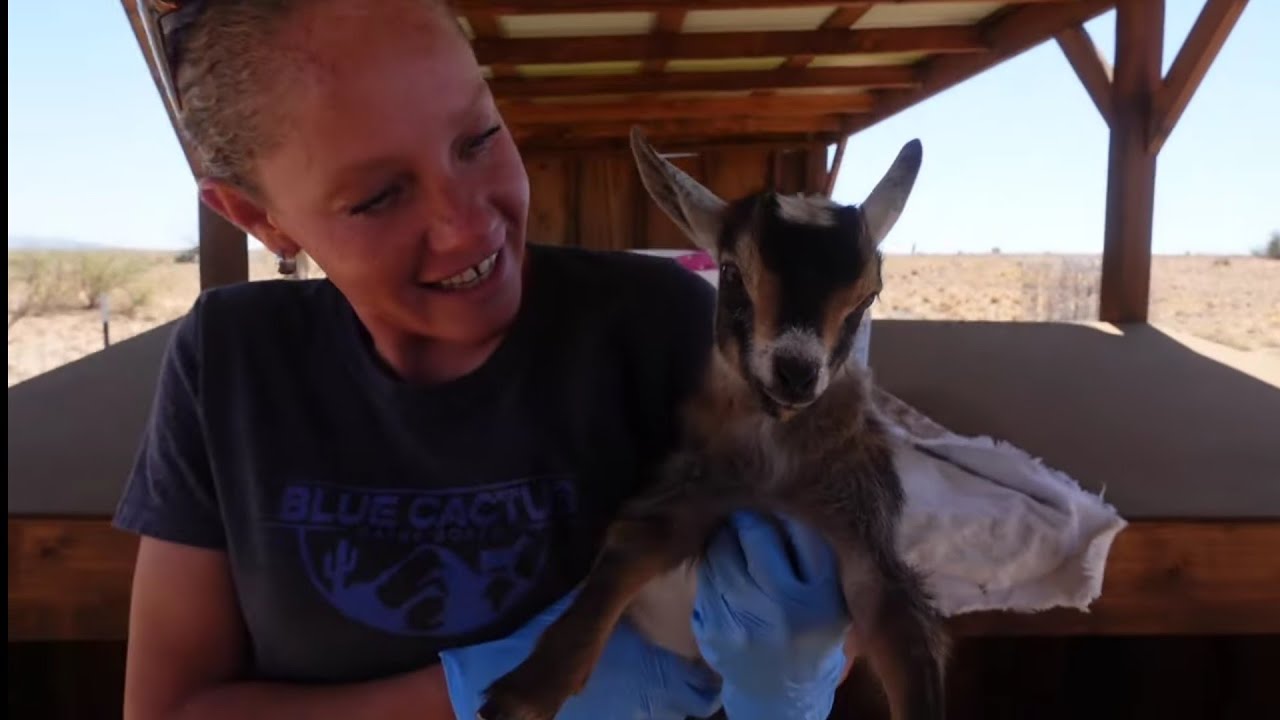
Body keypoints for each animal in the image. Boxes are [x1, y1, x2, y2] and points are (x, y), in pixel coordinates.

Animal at [478, 127, 947, 720]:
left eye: (868, 295)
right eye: (731, 271)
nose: (797, 371)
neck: (772, 473)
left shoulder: (868, 539)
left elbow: (910, 642)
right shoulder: (682, 496)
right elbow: (621, 562)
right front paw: (521, 694)